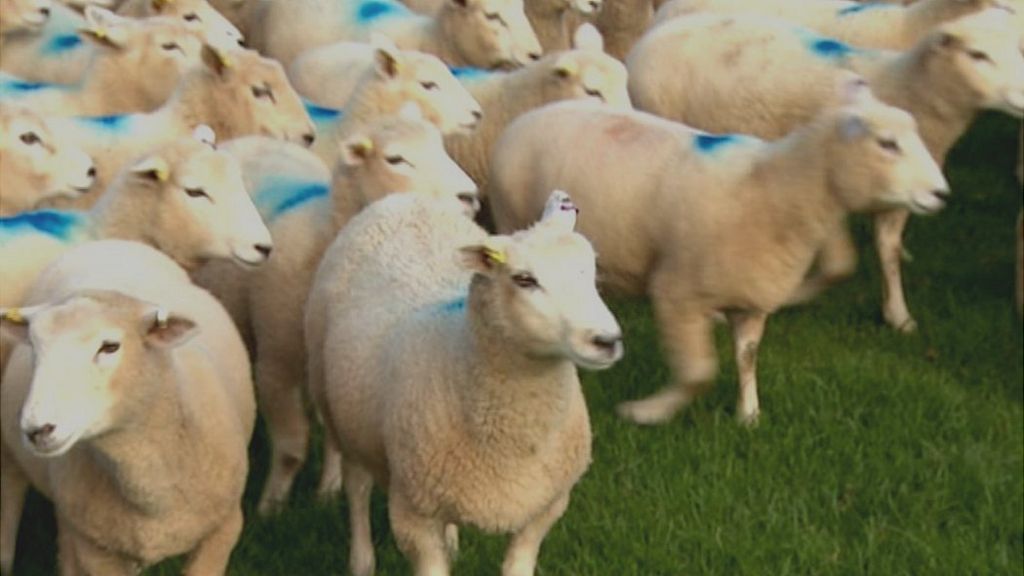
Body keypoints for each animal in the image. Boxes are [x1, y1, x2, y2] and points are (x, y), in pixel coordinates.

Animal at [0, 239, 255, 575]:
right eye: (34, 346)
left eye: (110, 346)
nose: (37, 429)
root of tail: (112, 243)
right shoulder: (98, 551)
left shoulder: (223, 531)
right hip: (17, 462)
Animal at [304, 191, 622, 576]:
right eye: (524, 280)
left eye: (591, 272)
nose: (607, 341)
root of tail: (403, 198)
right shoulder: (413, 515)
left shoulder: (547, 507)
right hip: (344, 418)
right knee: (357, 487)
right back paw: (361, 560)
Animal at [487, 81, 949, 425]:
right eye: (887, 144)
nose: (941, 193)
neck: (772, 192)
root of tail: (527, 117)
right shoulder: (676, 293)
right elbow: (698, 373)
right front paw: (646, 412)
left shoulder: (753, 299)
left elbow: (747, 355)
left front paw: (749, 414)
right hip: (514, 216)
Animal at [627, 11, 1024, 330]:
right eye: (977, 55)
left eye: (1017, 50)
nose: (1022, 98)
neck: (905, 87)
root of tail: (647, 38)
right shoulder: (821, 189)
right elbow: (839, 266)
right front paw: (797, 294)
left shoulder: (899, 198)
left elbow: (889, 252)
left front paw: (897, 315)